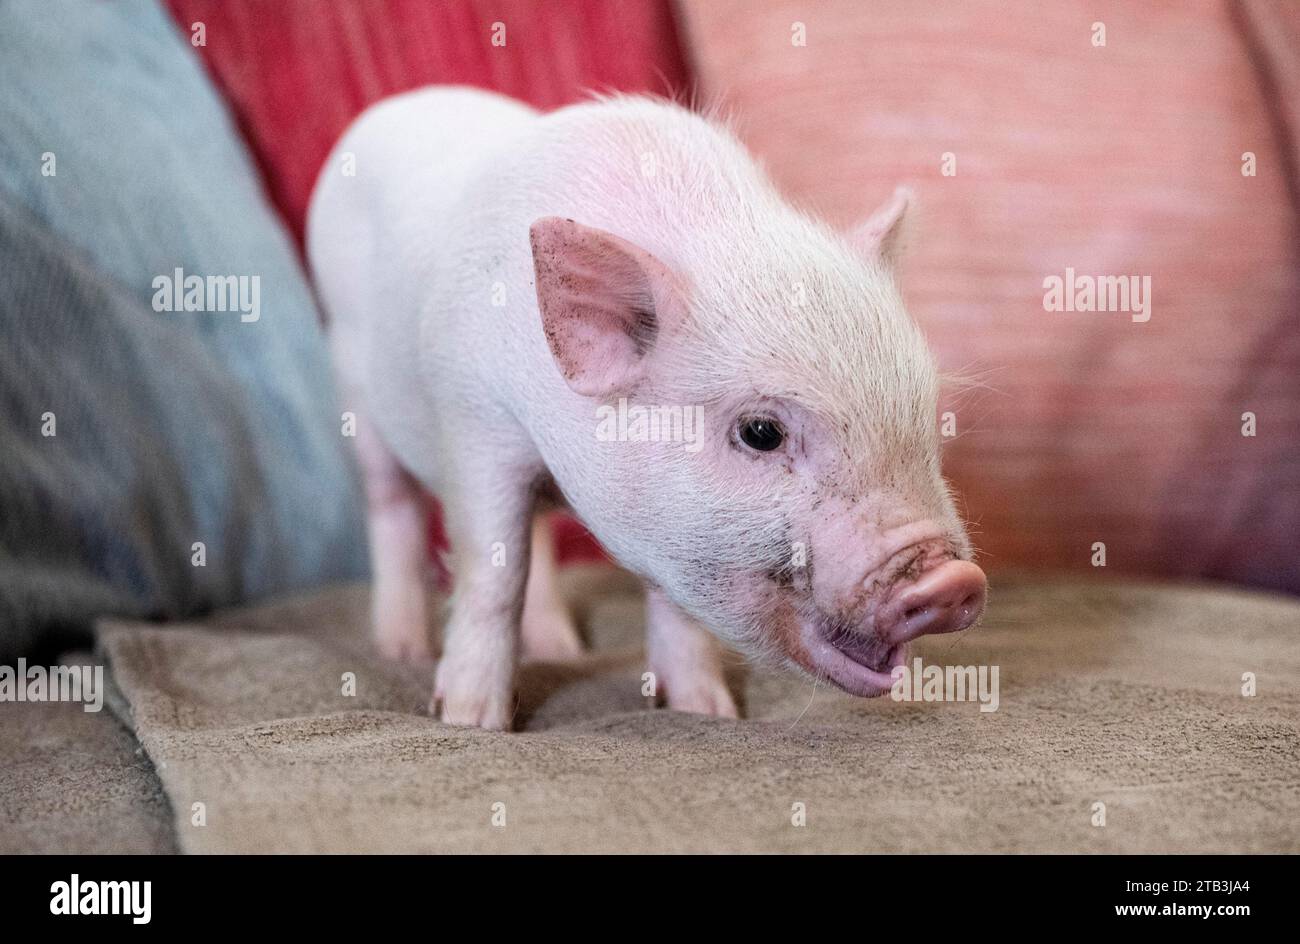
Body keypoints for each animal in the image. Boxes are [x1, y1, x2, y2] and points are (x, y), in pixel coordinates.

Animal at [306, 87, 986, 731]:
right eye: (761, 432)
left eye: (926, 422)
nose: (954, 582)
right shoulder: (477, 418)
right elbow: (495, 572)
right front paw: (470, 721)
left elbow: (671, 605)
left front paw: (707, 713)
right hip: (350, 379)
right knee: (392, 505)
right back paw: (402, 651)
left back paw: (562, 649)